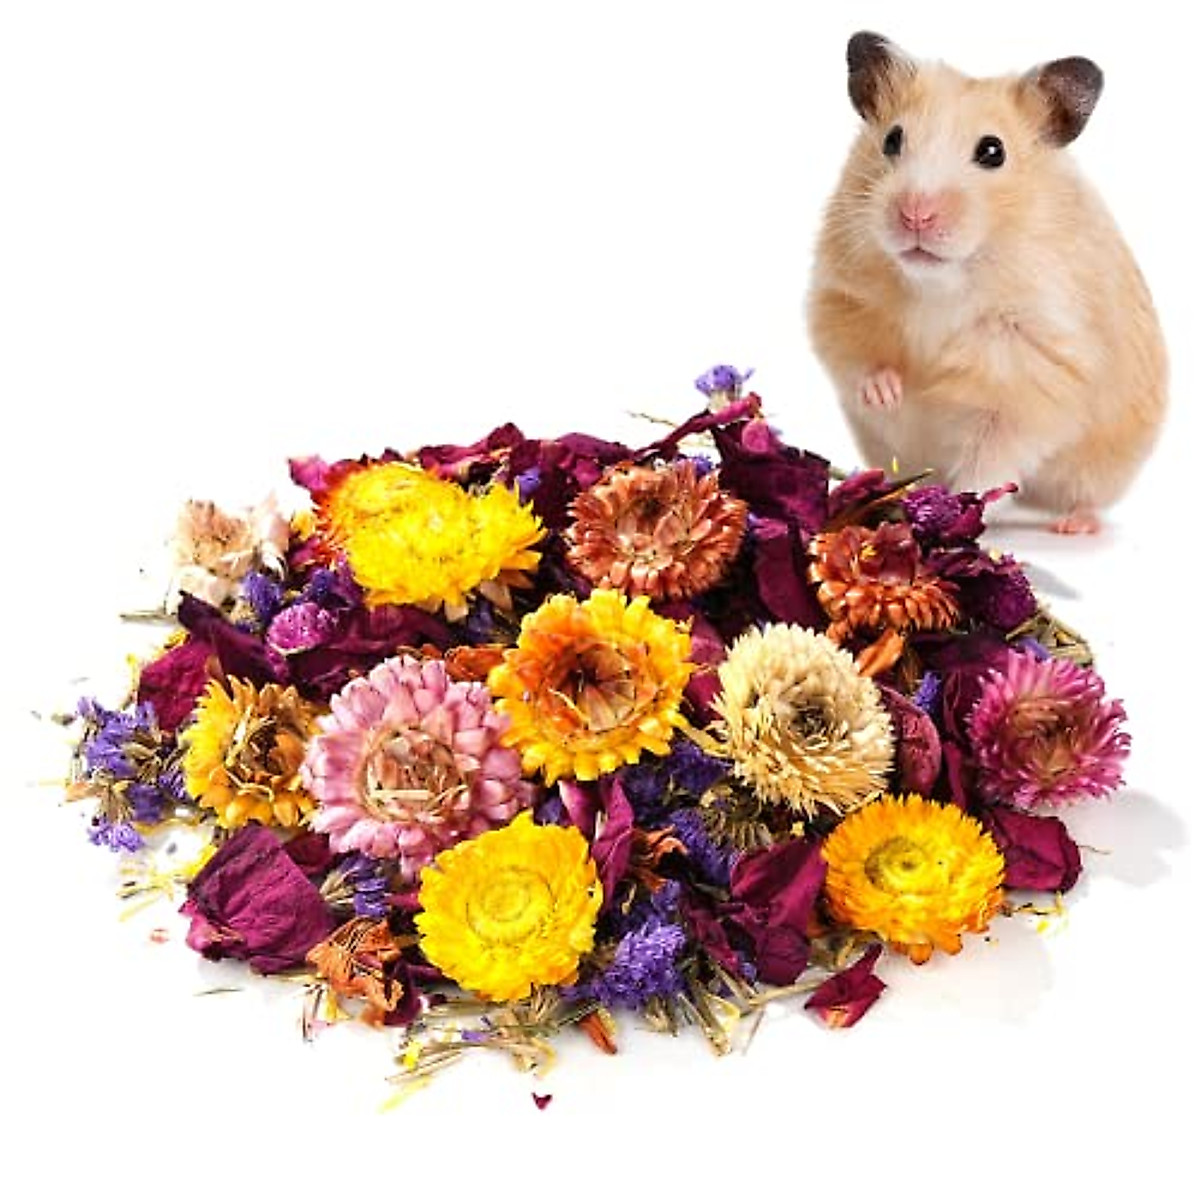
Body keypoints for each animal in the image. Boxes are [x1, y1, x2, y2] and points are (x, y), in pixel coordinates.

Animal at [806, 31, 1168, 533]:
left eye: (993, 151)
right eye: (892, 140)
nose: (915, 214)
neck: (940, 283)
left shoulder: (1031, 370)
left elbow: (992, 456)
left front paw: (960, 507)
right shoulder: (839, 298)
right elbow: (858, 358)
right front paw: (887, 394)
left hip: (1103, 465)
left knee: (1081, 496)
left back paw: (1073, 524)